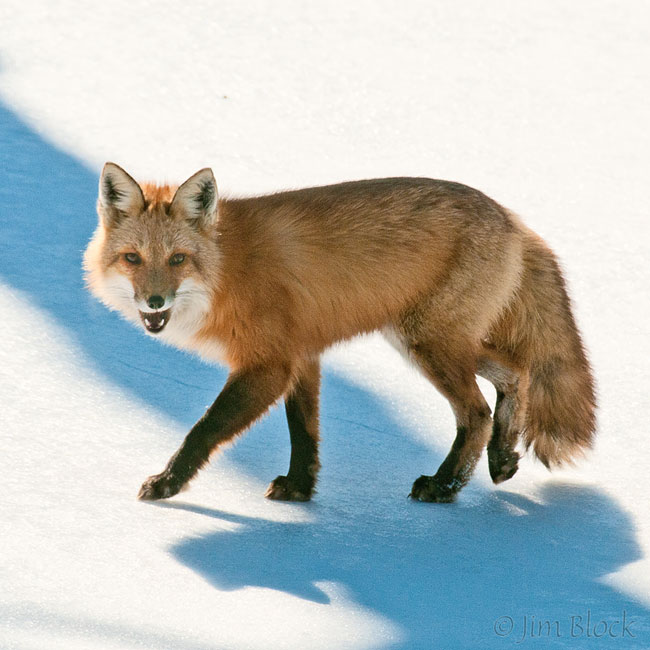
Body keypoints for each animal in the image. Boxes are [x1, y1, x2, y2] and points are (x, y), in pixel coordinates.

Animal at [83, 162, 596, 504]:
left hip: (427, 344)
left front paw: (168, 484)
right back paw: (502, 457)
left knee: (477, 413)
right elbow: (304, 431)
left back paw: (444, 485)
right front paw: (300, 487)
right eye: (133, 259)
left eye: (177, 260)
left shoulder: (269, 363)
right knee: (517, 373)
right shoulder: (301, 354)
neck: (227, 273)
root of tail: (511, 218)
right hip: (434, 339)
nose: (154, 302)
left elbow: (203, 430)